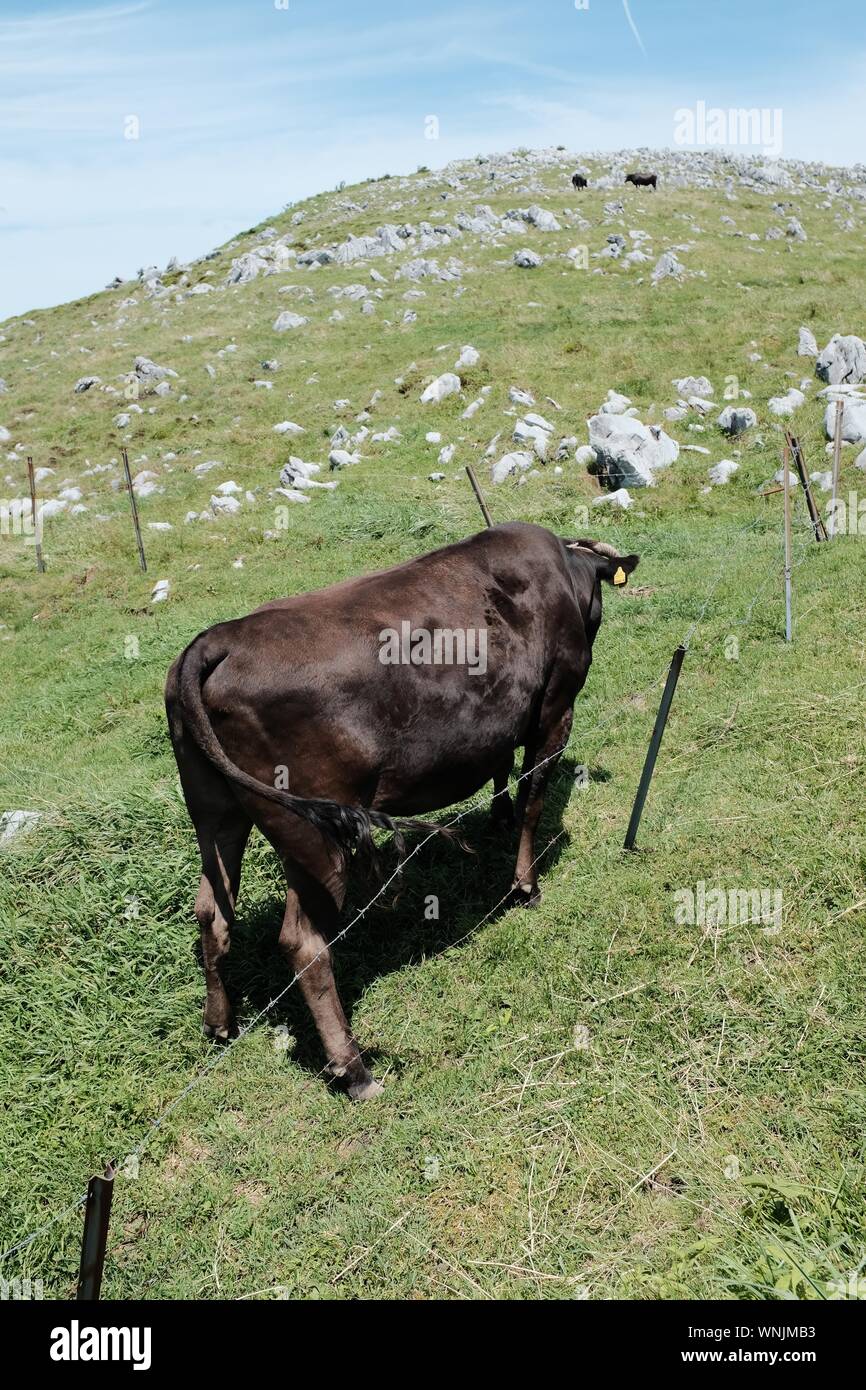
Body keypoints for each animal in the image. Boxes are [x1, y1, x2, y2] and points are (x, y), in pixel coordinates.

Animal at [165, 523, 639, 1098]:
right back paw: (354, 1069)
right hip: (313, 837)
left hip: (215, 812)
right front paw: (524, 885)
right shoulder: (554, 709)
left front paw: (499, 817)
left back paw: (220, 1022)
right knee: (304, 943)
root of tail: (216, 640)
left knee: (211, 910)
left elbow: (502, 769)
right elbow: (533, 798)